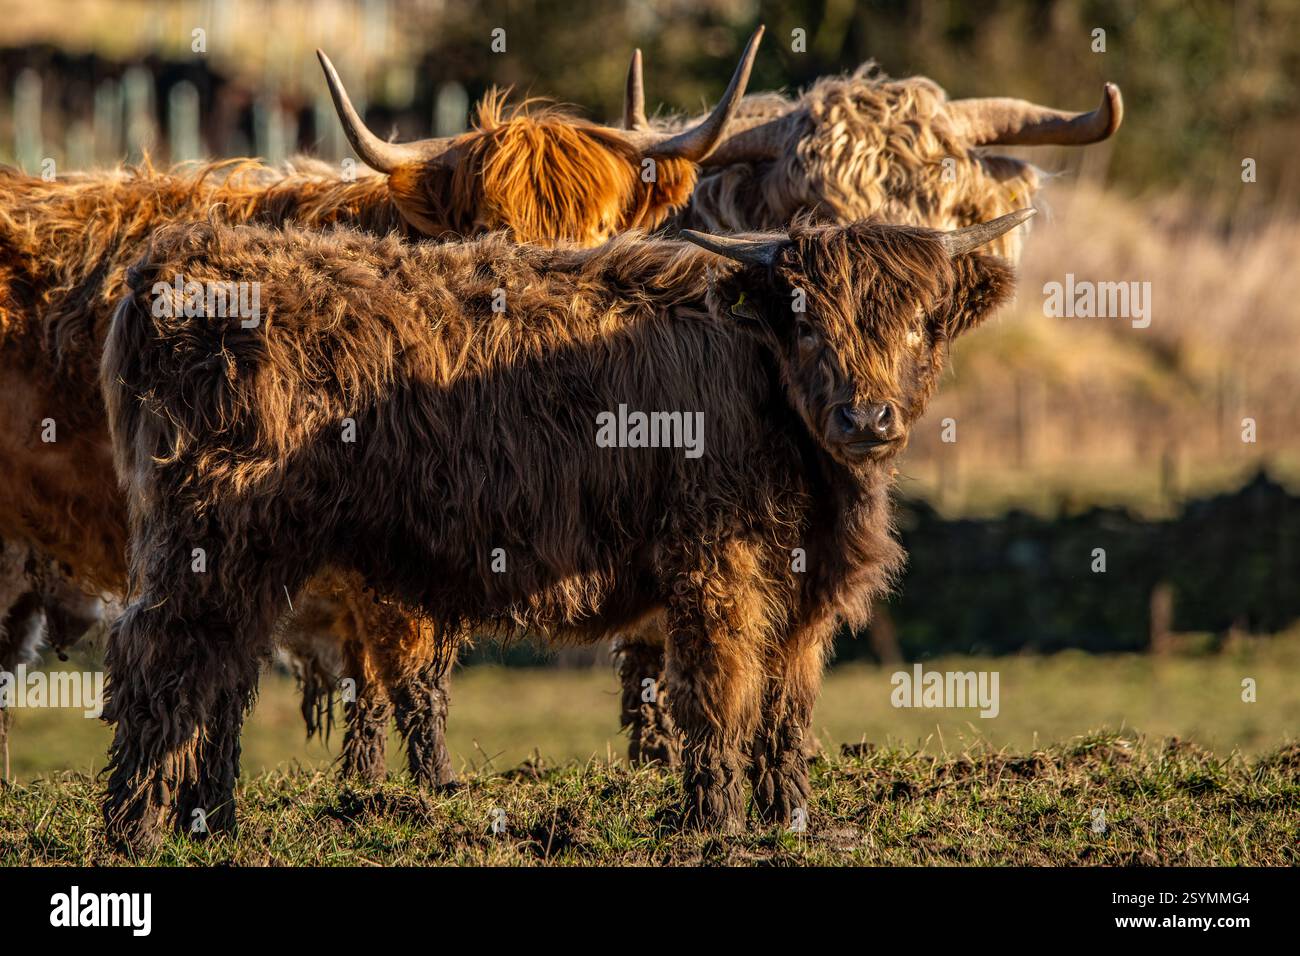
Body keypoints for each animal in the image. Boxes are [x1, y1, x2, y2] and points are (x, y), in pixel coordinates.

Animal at [98, 208, 1031, 849]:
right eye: (806, 319)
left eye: (921, 321)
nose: (865, 417)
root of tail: (171, 264)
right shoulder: (717, 568)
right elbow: (718, 690)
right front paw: (717, 823)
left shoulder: (801, 593)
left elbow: (786, 706)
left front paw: (788, 818)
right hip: (212, 537)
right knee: (162, 661)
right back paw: (135, 829)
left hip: (253, 553)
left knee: (223, 674)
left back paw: (213, 822)